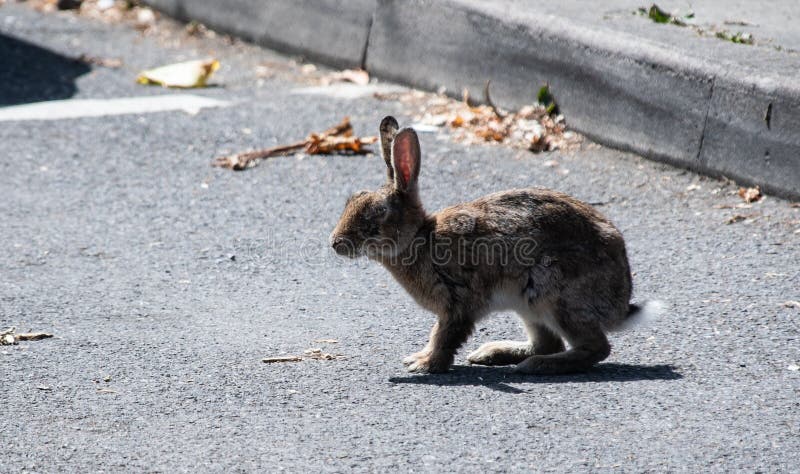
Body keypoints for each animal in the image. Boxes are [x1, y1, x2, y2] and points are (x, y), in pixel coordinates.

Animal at [330, 116, 662, 374]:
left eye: (377, 213)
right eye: (351, 200)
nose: (335, 243)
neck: (419, 238)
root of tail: (621, 303)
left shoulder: (458, 302)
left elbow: (443, 336)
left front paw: (424, 364)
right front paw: (421, 358)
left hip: (556, 296)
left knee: (595, 348)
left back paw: (537, 366)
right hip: (528, 305)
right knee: (548, 342)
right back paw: (493, 353)